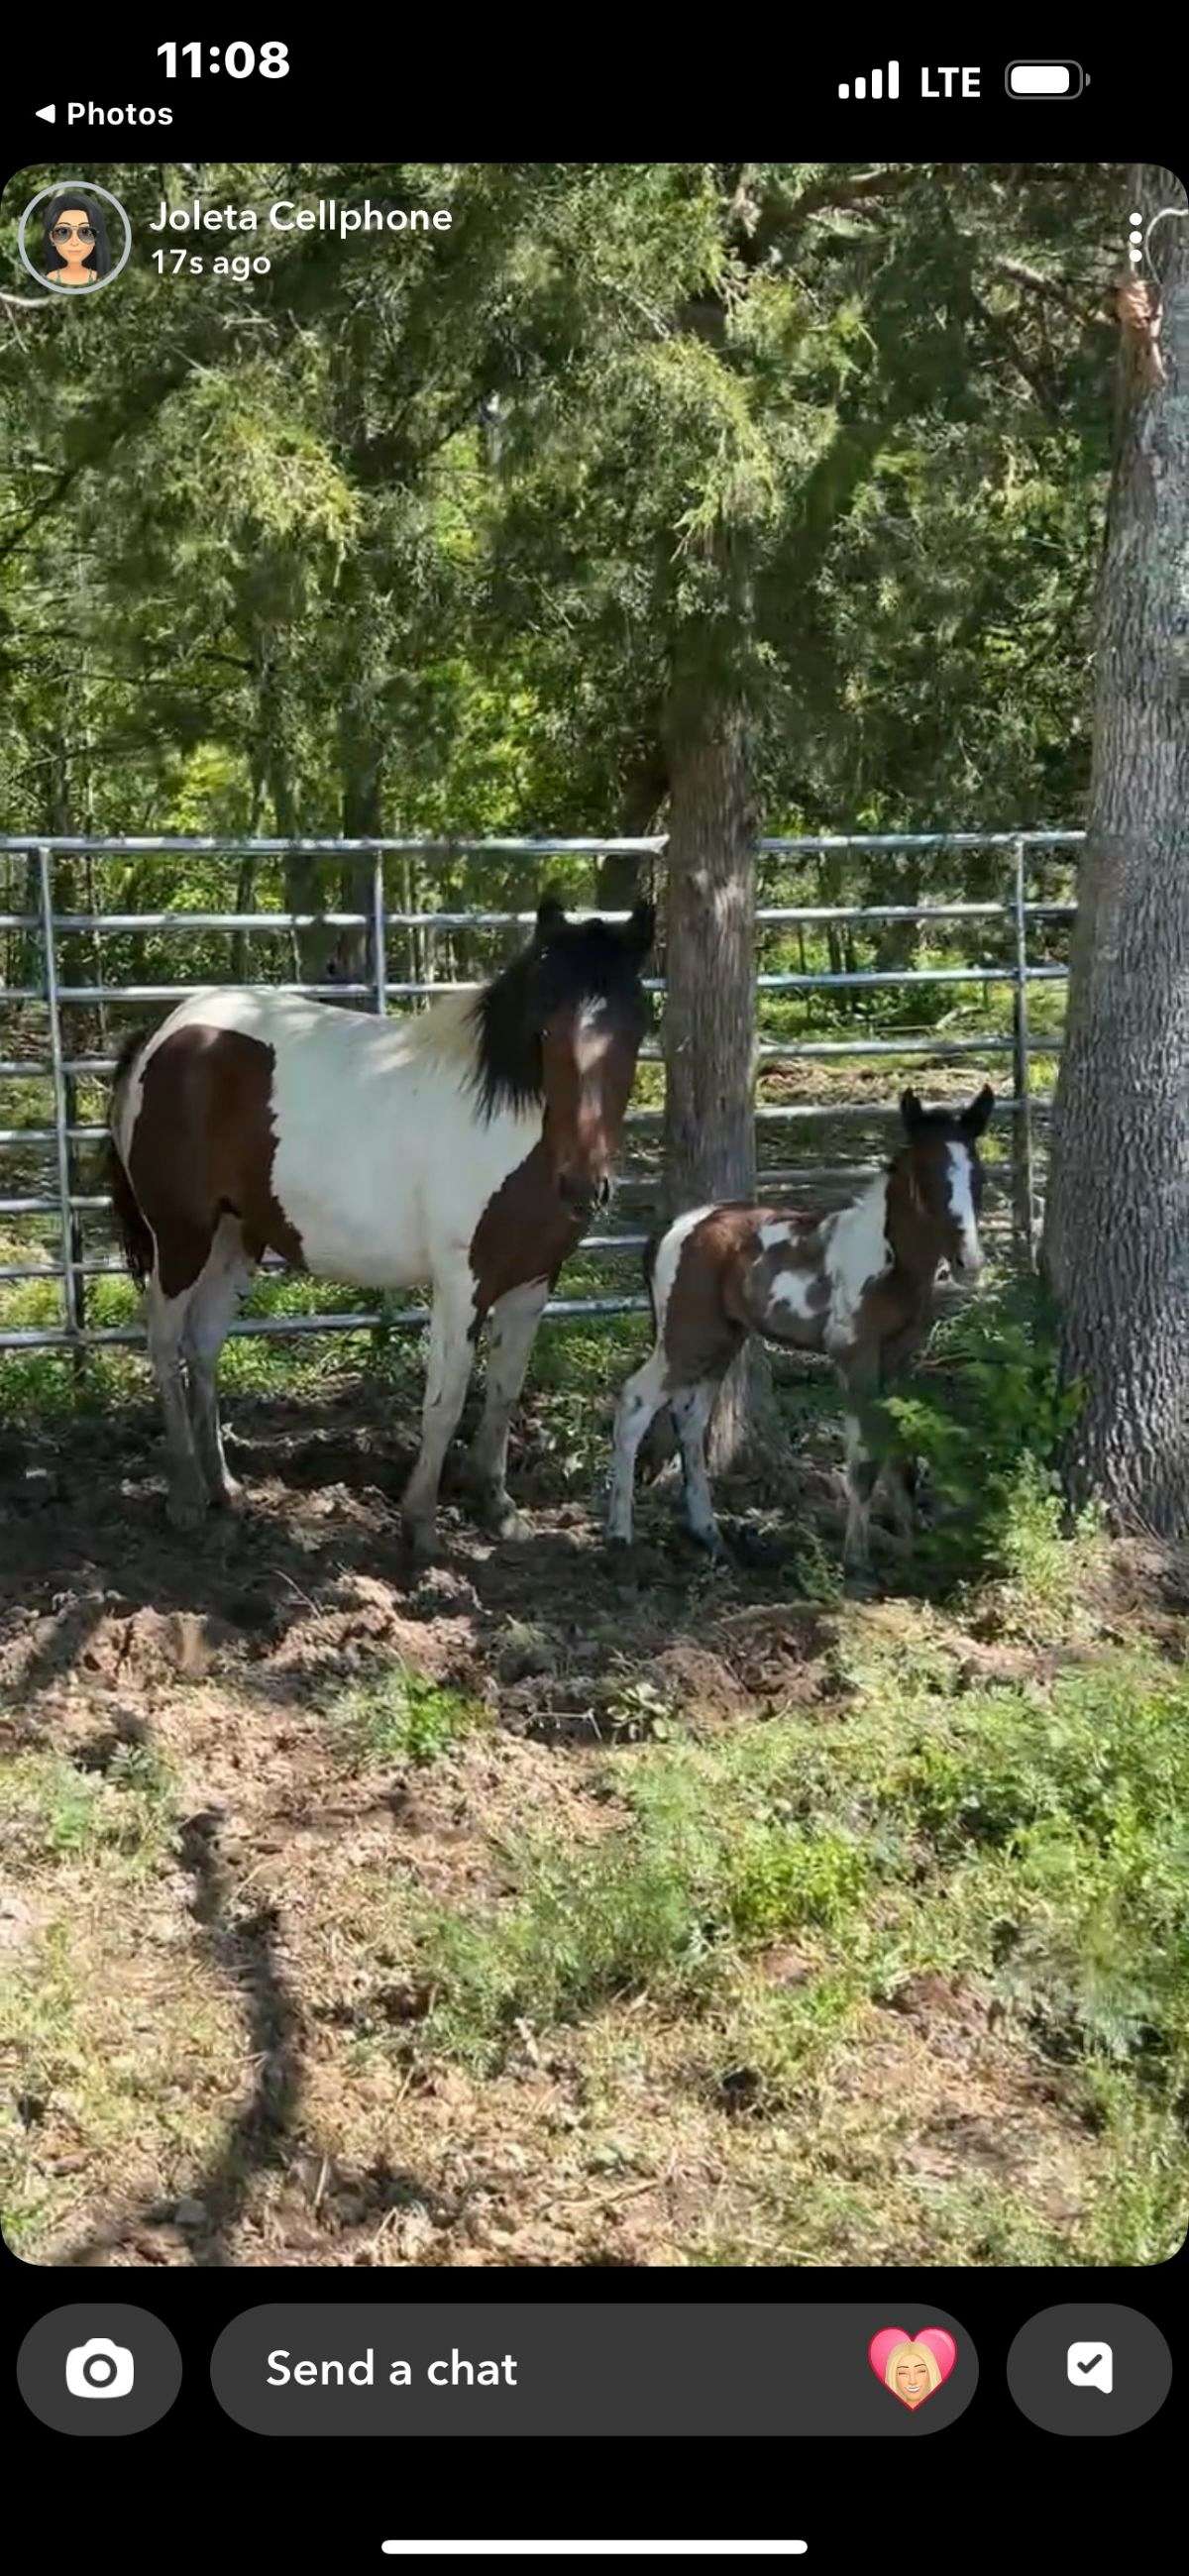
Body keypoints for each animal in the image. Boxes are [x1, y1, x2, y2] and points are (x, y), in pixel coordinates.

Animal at [107, 893, 654, 1554]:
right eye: (545, 1030)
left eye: (634, 1031)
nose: (582, 1186)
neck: (515, 1128)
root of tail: (165, 1031)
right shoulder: (462, 1286)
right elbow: (445, 1399)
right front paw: (420, 1522)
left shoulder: (533, 1283)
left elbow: (504, 1389)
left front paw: (496, 1507)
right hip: (180, 1237)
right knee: (164, 1342)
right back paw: (186, 1495)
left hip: (234, 1238)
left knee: (203, 1343)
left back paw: (225, 1489)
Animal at [606, 1084, 995, 1567]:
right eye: (926, 1178)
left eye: (978, 1178)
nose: (969, 1262)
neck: (886, 1261)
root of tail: (672, 1228)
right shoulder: (854, 1356)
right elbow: (863, 1459)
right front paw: (857, 1559)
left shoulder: (899, 1356)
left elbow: (898, 1449)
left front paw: (909, 1541)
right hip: (685, 1338)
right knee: (635, 1402)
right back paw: (620, 1534)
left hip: (722, 1340)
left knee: (690, 1420)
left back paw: (709, 1534)